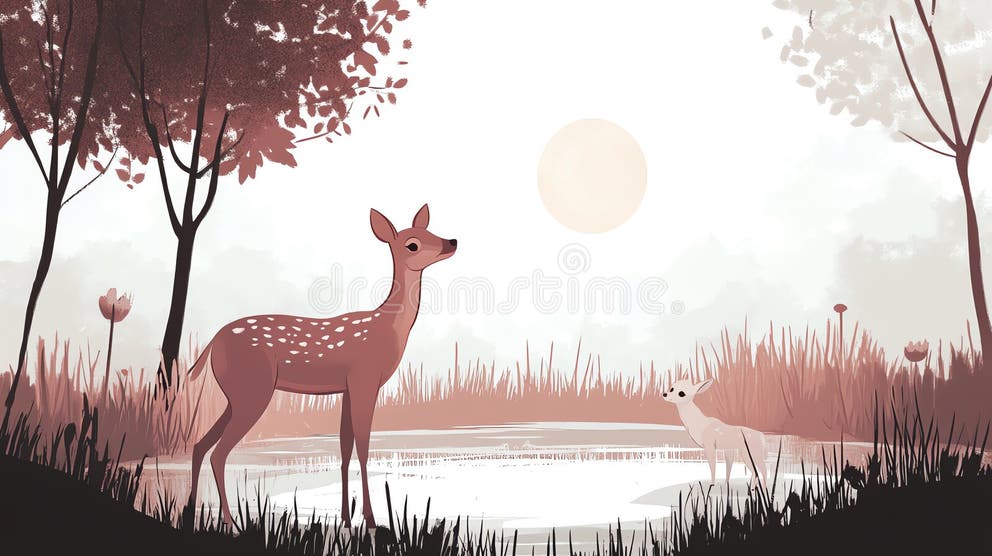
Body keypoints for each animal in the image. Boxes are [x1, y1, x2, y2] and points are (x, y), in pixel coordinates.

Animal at [185, 204, 456, 529]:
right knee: (219, 452)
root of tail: (212, 343)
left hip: (237, 394)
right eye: (412, 244)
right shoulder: (365, 378)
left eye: (431, 232)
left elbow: (345, 447)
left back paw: (191, 512)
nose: (452, 242)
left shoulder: (348, 387)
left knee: (200, 445)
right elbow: (363, 447)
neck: (387, 328)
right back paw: (231, 522)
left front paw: (346, 518)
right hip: (254, 389)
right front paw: (370, 518)